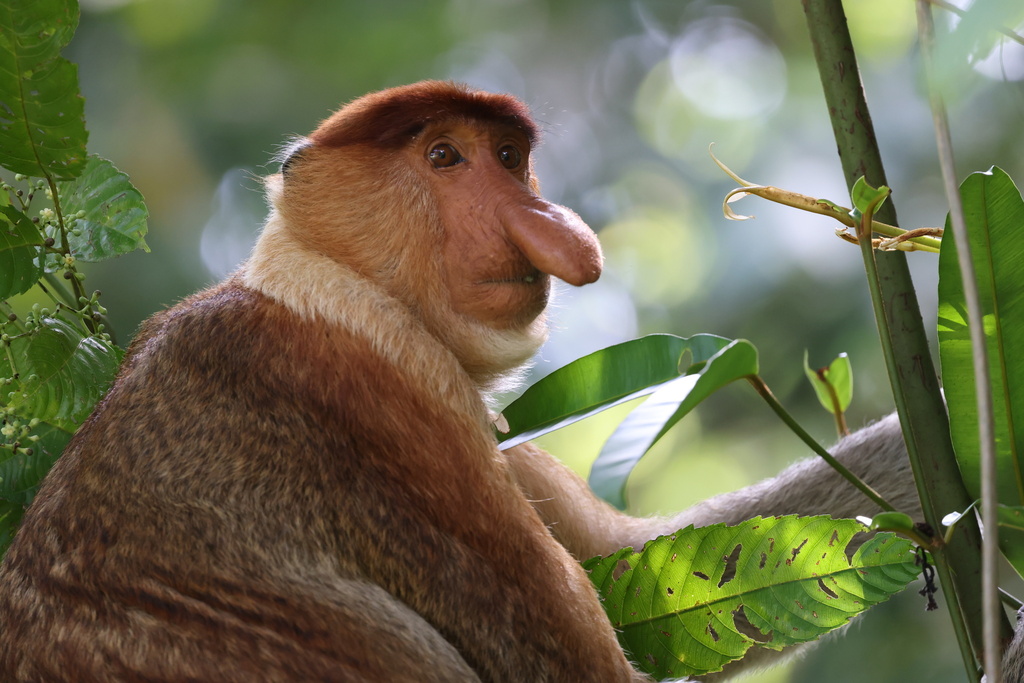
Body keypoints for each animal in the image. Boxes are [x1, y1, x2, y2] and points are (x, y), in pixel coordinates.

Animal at [0, 80, 993, 682]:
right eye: (444, 157)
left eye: (510, 156)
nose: (541, 216)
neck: (333, 284)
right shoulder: (388, 409)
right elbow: (573, 658)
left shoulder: (495, 436)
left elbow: (652, 561)